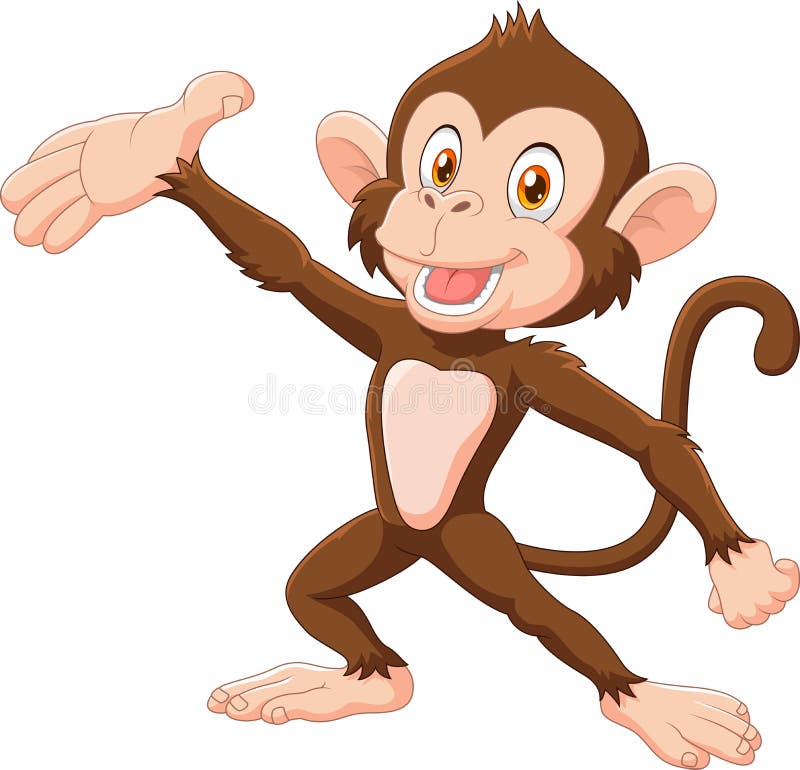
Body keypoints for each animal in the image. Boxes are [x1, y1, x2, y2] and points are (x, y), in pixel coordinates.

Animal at [2, 7, 798, 769]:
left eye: (534, 187)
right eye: (440, 164)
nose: (451, 203)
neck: (451, 347)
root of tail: (427, 547)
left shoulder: (531, 372)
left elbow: (648, 442)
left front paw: (740, 567)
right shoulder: (387, 326)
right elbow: (286, 263)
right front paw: (138, 159)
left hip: (475, 541)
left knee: (544, 614)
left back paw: (645, 699)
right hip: (380, 535)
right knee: (309, 591)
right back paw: (362, 682)